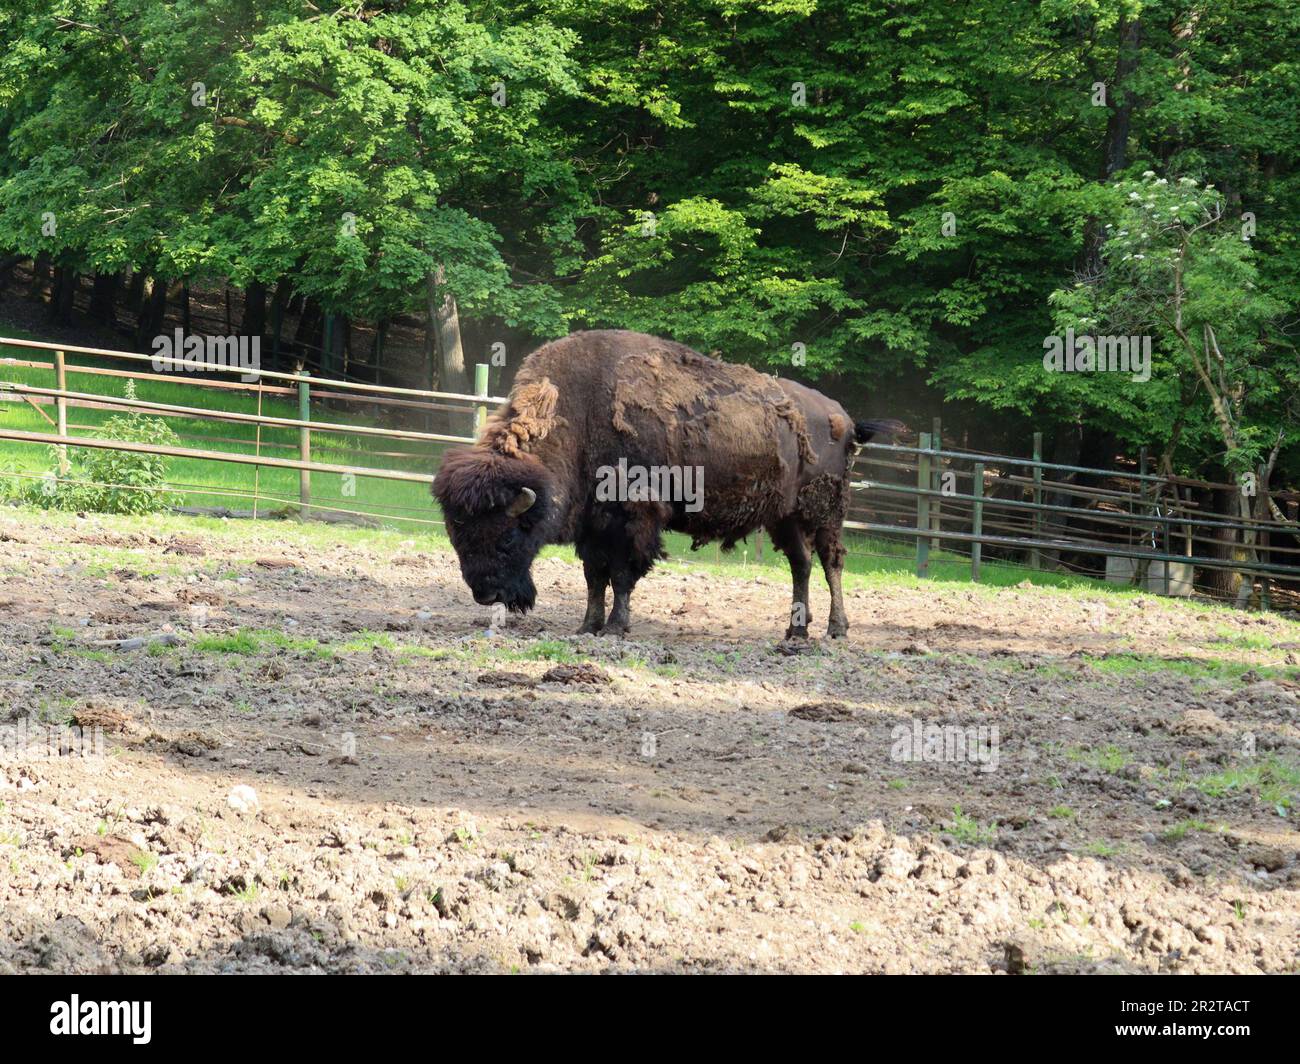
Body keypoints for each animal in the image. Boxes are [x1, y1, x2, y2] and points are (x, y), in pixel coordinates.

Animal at [433, 330, 897, 638]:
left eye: (507, 538)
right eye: (458, 538)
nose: (486, 594)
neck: (578, 418)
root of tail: (843, 416)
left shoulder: (633, 520)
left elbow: (621, 574)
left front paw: (615, 628)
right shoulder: (593, 527)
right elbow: (594, 576)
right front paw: (587, 625)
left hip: (824, 512)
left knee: (831, 561)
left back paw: (836, 630)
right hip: (784, 517)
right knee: (801, 564)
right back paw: (795, 632)